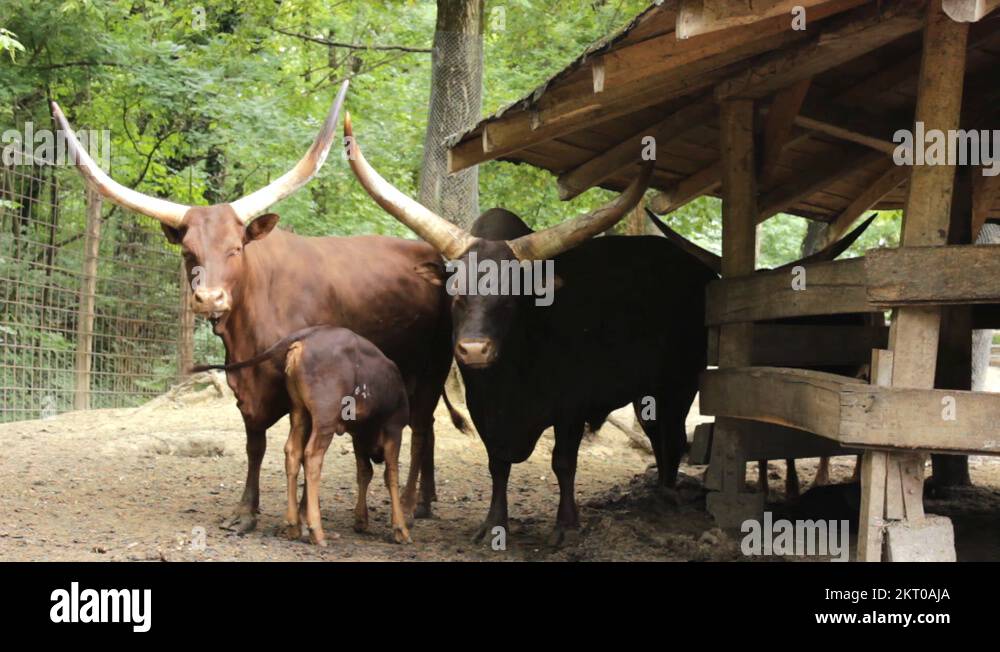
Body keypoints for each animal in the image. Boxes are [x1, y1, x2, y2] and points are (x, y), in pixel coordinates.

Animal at [195, 325, 413, 546]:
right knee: (312, 456)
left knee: (293, 452)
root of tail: (305, 337)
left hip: (299, 411)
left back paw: (293, 525)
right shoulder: (394, 427)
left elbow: (364, 472)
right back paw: (316, 530)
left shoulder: (358, 435)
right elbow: (391, 475)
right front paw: (400, 528)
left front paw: (361, 520)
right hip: (325, 418)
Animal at [345, 111, 717, 545]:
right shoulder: (483, 408)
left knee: (671, 440)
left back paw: (662, 499)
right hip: (648, 394)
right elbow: (498, 465)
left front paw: (565, 526)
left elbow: (563, 463)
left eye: (512, 298)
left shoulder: (571, 407)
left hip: (679, 383)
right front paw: (493, 523)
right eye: (455, 293)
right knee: (659, 437)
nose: (474, 350)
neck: (512, 375)